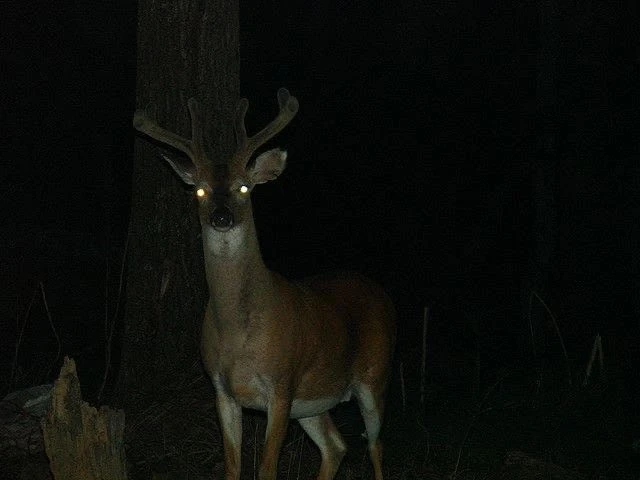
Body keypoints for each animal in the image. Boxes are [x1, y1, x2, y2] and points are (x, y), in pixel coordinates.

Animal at [133, 88, 396, 480]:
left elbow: (266, 469)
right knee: (336, 446)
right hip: (314, 401)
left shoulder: (282, 384)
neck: (239, 335)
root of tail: (381, 294)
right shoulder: (222, 391)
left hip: (374, 375)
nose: (221, 217)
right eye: (199, 191)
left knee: (376, 445)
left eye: (244, 187)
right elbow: (232, 468)